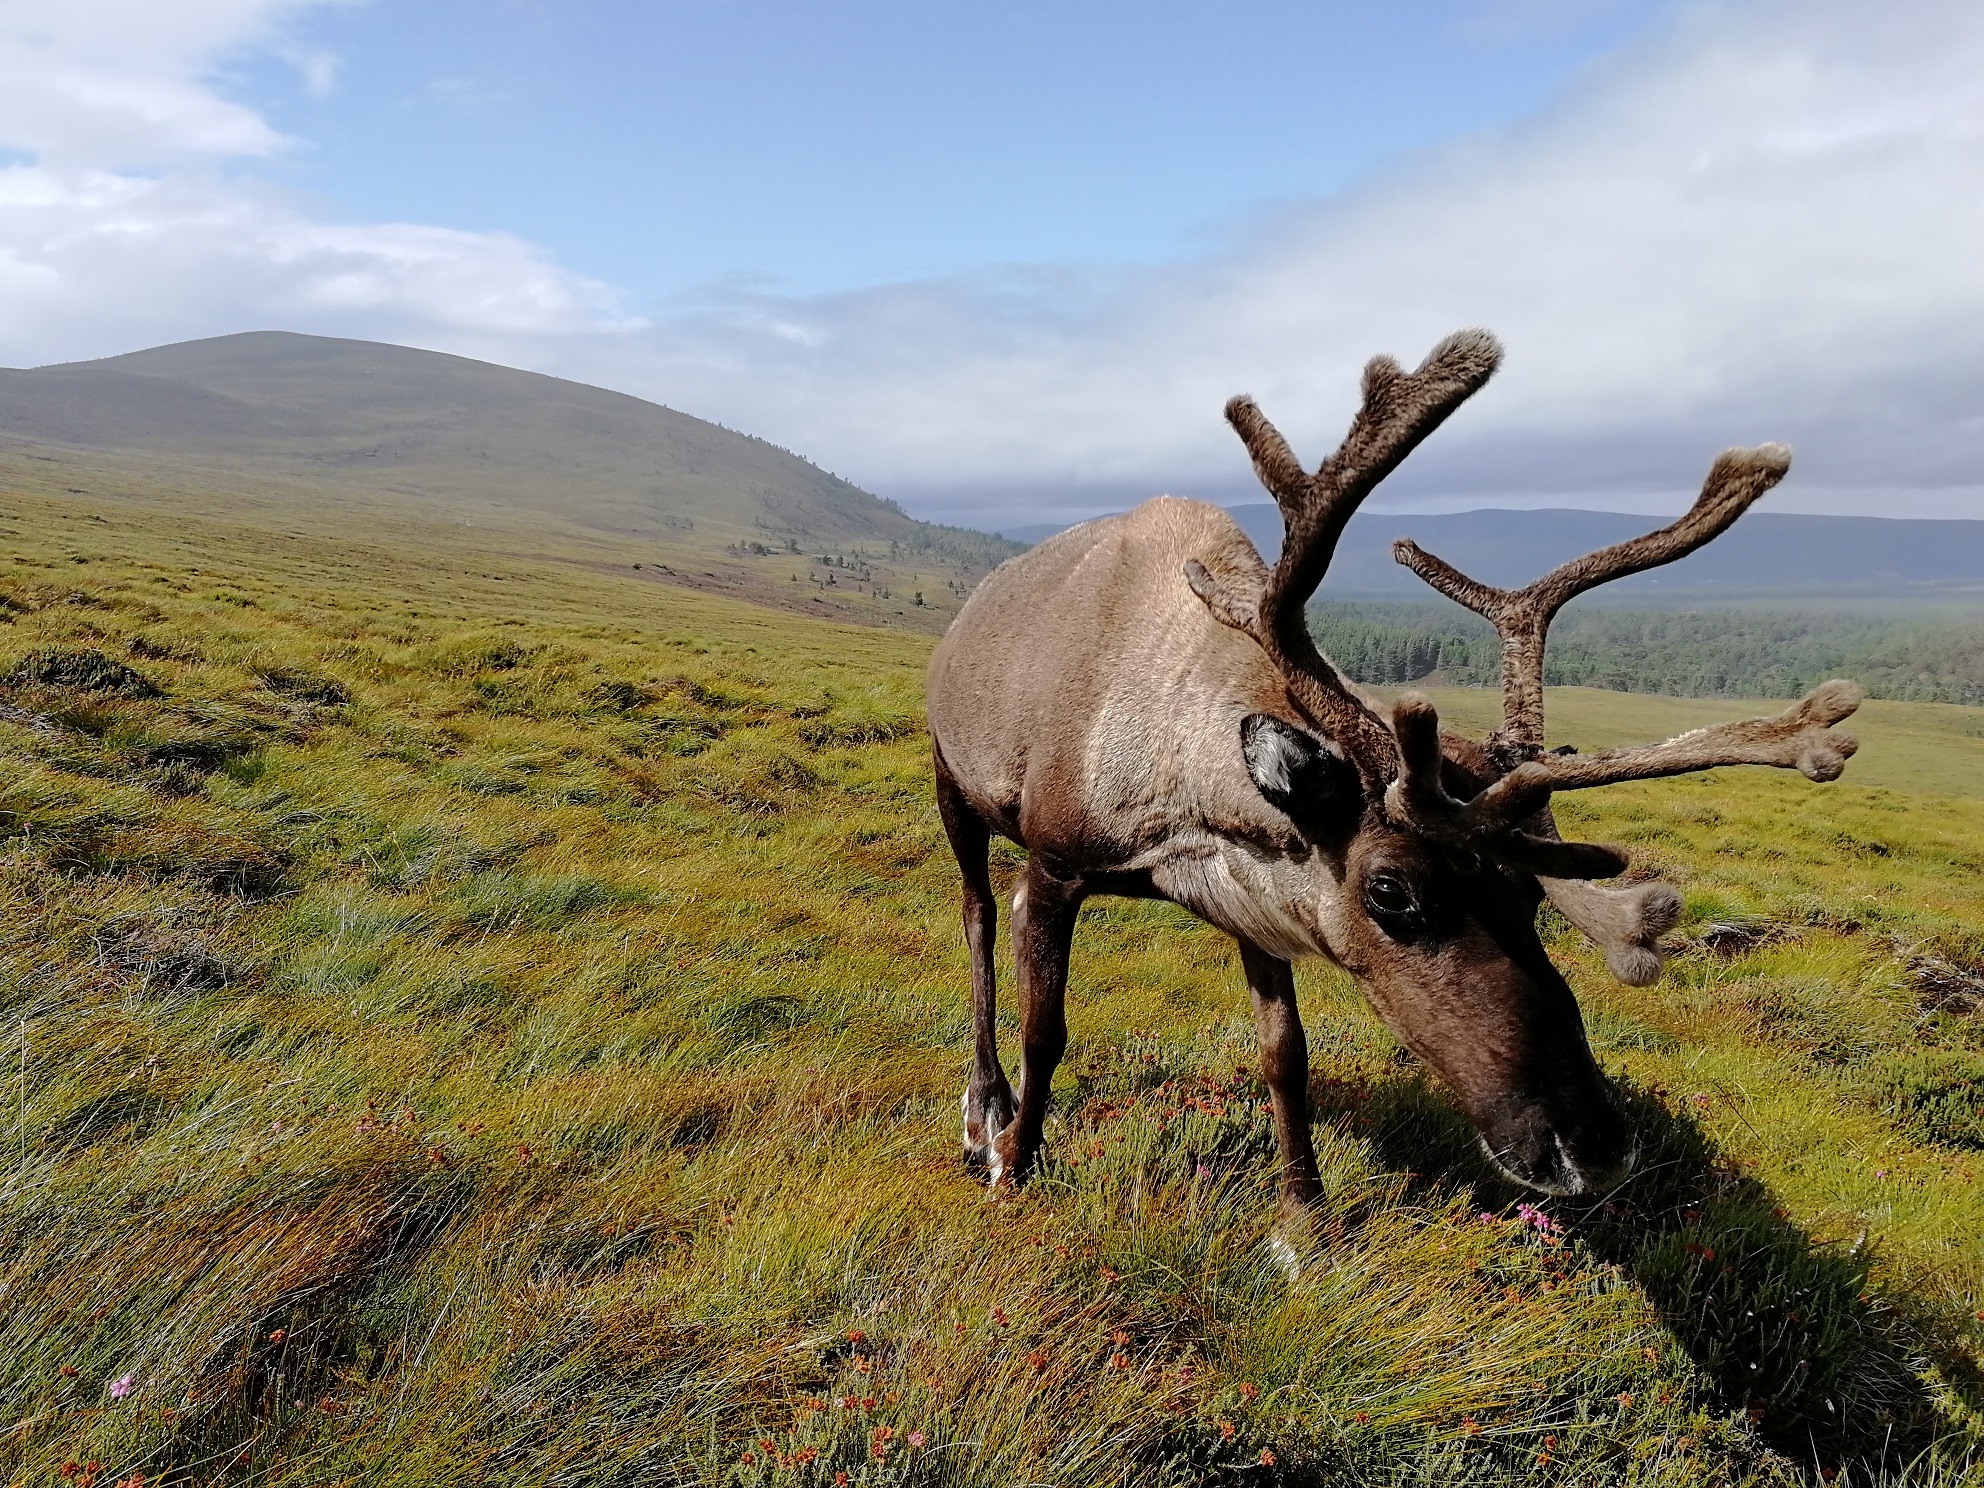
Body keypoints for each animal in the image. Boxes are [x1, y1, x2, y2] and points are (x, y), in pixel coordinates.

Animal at [925, 329, 1862, 1223]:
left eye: (1532, 895)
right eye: (1391, 893)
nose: (1592, 1147)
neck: (1183, 799)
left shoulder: (1257, 893)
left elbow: (1285, 1054)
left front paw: (1305, 1220)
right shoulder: (1055, 864)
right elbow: (1046, 1029)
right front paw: (1016, 1164)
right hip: (951, 783)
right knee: (976, 919)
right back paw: (983, 1106)